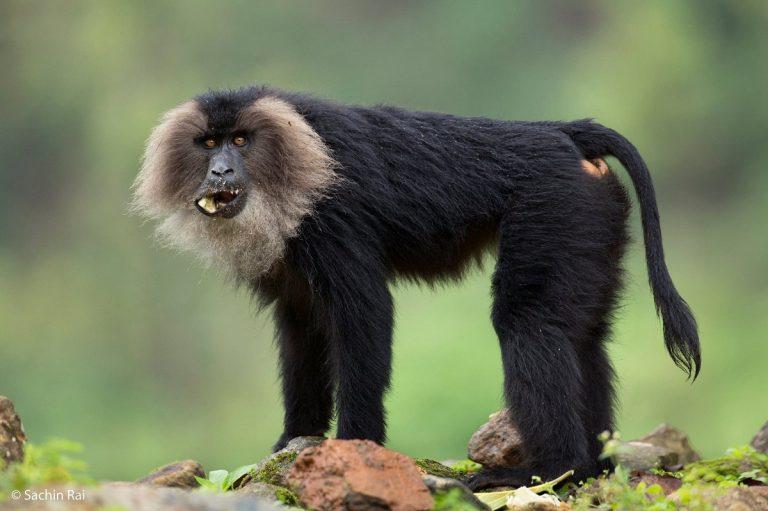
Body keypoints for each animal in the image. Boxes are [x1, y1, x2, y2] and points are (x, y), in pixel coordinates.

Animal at [132, 86, 700, 490]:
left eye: (241, 141)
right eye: (209, 143)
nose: (219, 171)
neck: (292, 163)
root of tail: (563, 133)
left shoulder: (334, 216)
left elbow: (364, 317)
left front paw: (355, 447)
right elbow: (301, 332)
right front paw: (291, 441)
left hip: (555, 206)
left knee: (530, 324)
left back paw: (549, 470)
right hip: (593, 213)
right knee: (584, 336)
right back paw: (593, 468)